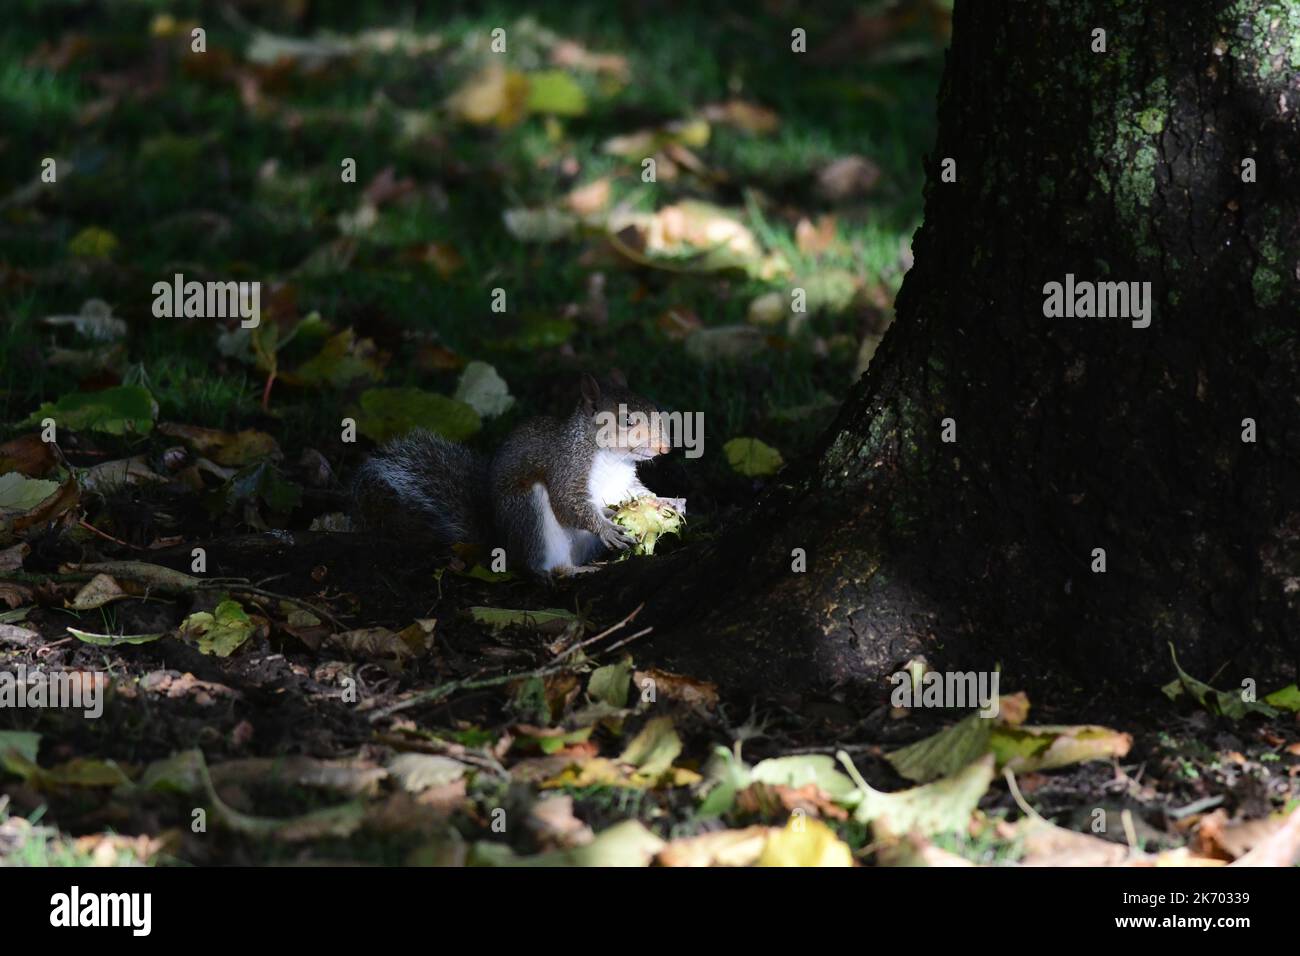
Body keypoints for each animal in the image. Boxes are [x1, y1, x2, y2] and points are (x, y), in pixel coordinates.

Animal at [352, 372, 684, 577]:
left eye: (656, 408)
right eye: (627, 420)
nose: (666, 447)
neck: (613, 459)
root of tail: (504, 542)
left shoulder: (622, 482)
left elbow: (634, 494)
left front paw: (666, 502)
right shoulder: (566, 467)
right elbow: (569, 504)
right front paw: (606, 527)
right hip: (528, 511)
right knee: (546, 566)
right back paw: (567, 571)